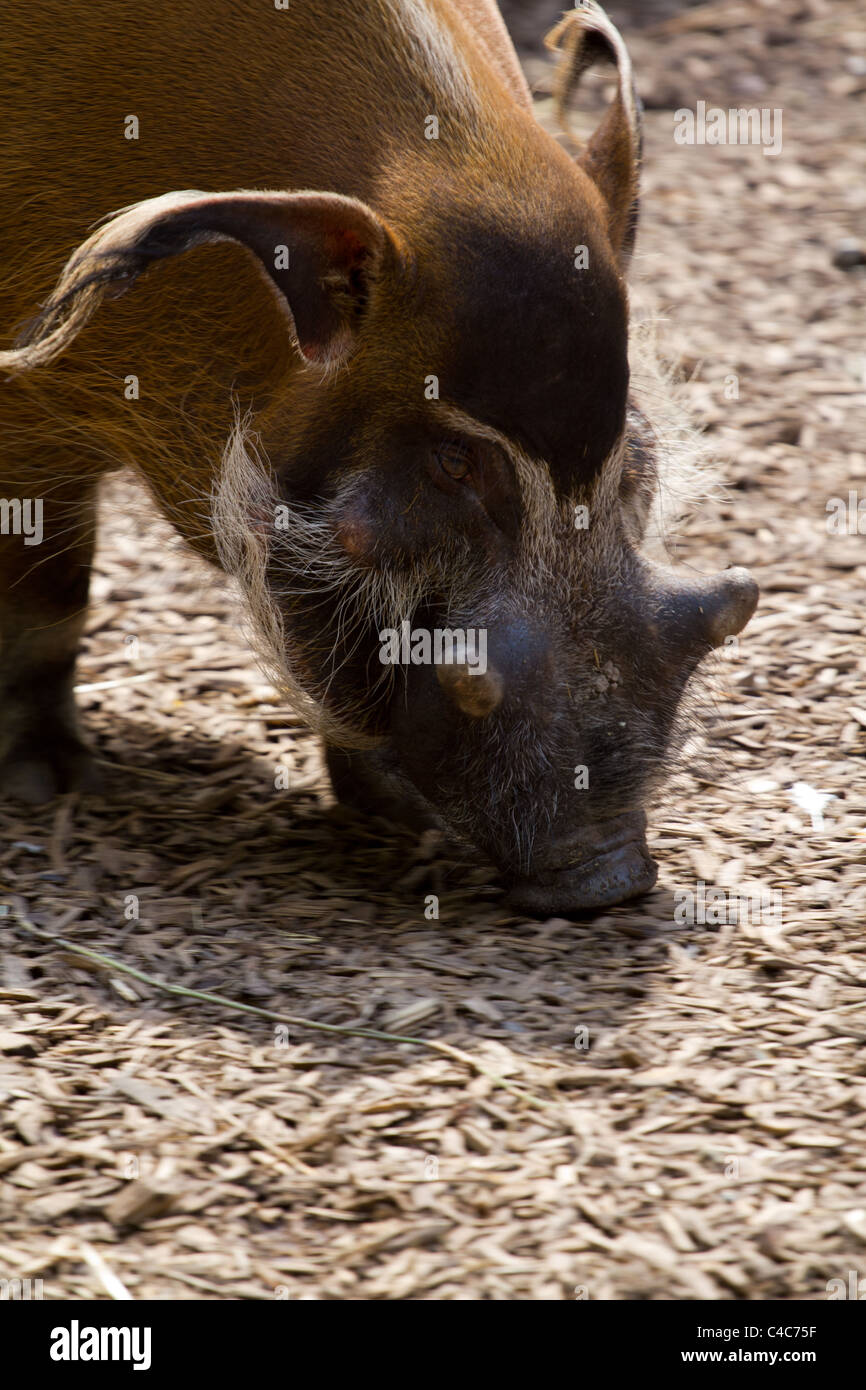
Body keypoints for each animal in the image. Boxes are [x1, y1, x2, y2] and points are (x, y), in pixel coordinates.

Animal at [0, 1, 758, 914]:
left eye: (634, 455)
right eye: (454, 462)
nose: (607, 878)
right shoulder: (25, 412)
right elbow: (48, 600)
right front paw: (57, 786)